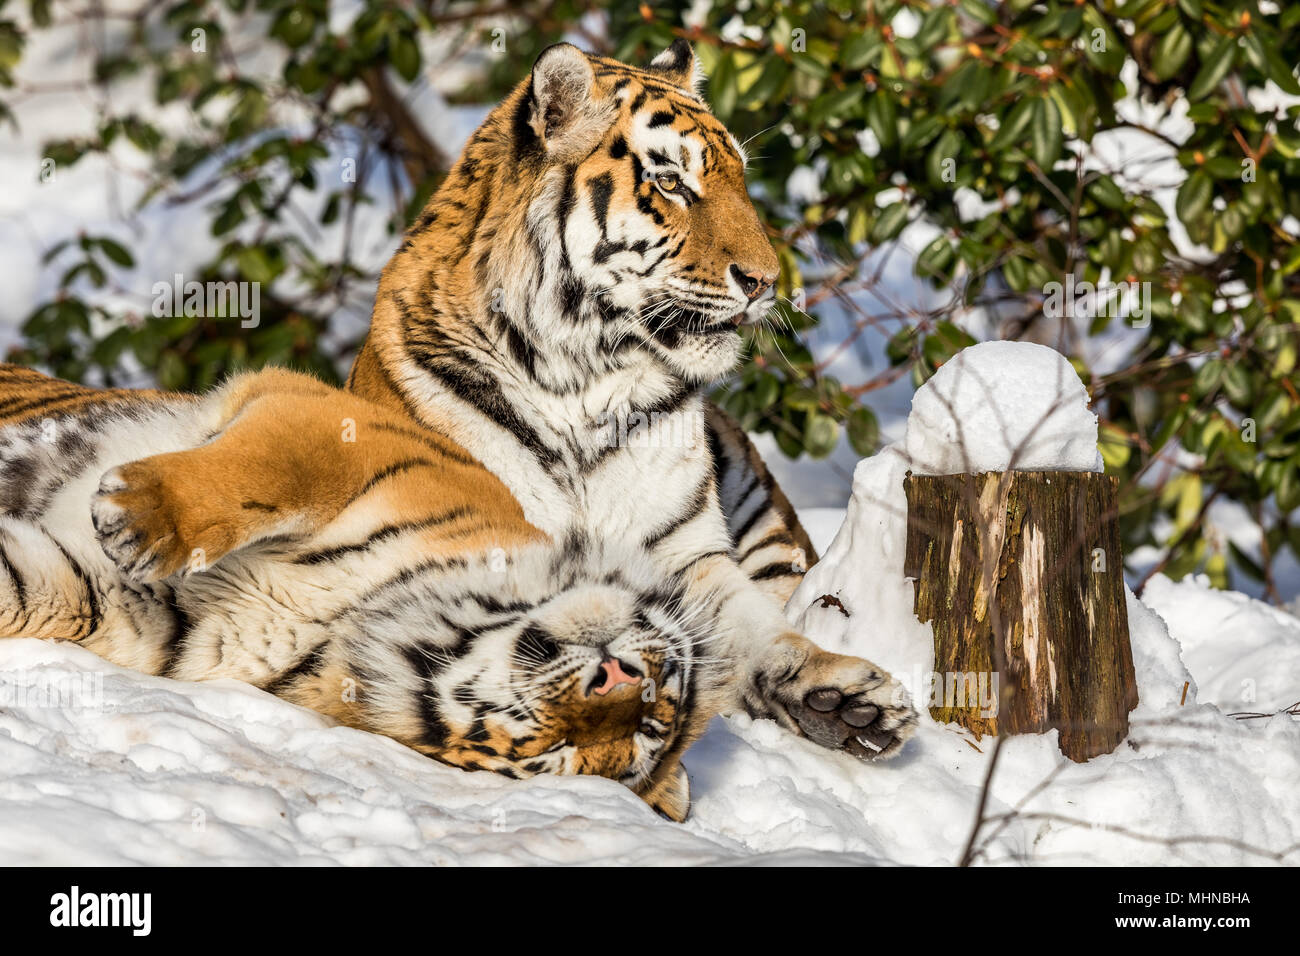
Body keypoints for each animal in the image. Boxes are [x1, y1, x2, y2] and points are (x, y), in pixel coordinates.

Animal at [0, 363, 724, 820]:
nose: (616, 678)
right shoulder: (332, 424)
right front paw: (136, 515)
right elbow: (269, 472)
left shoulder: (137, 609)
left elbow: (32, 584)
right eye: (654, 708)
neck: (356, 614)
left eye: (556, 754)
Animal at [347, 39, 919, 759]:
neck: (581, 381)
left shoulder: (685, 556)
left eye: (740, 180)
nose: (766, 282)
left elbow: (759, 627)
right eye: (671, 183)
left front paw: (843, 698)